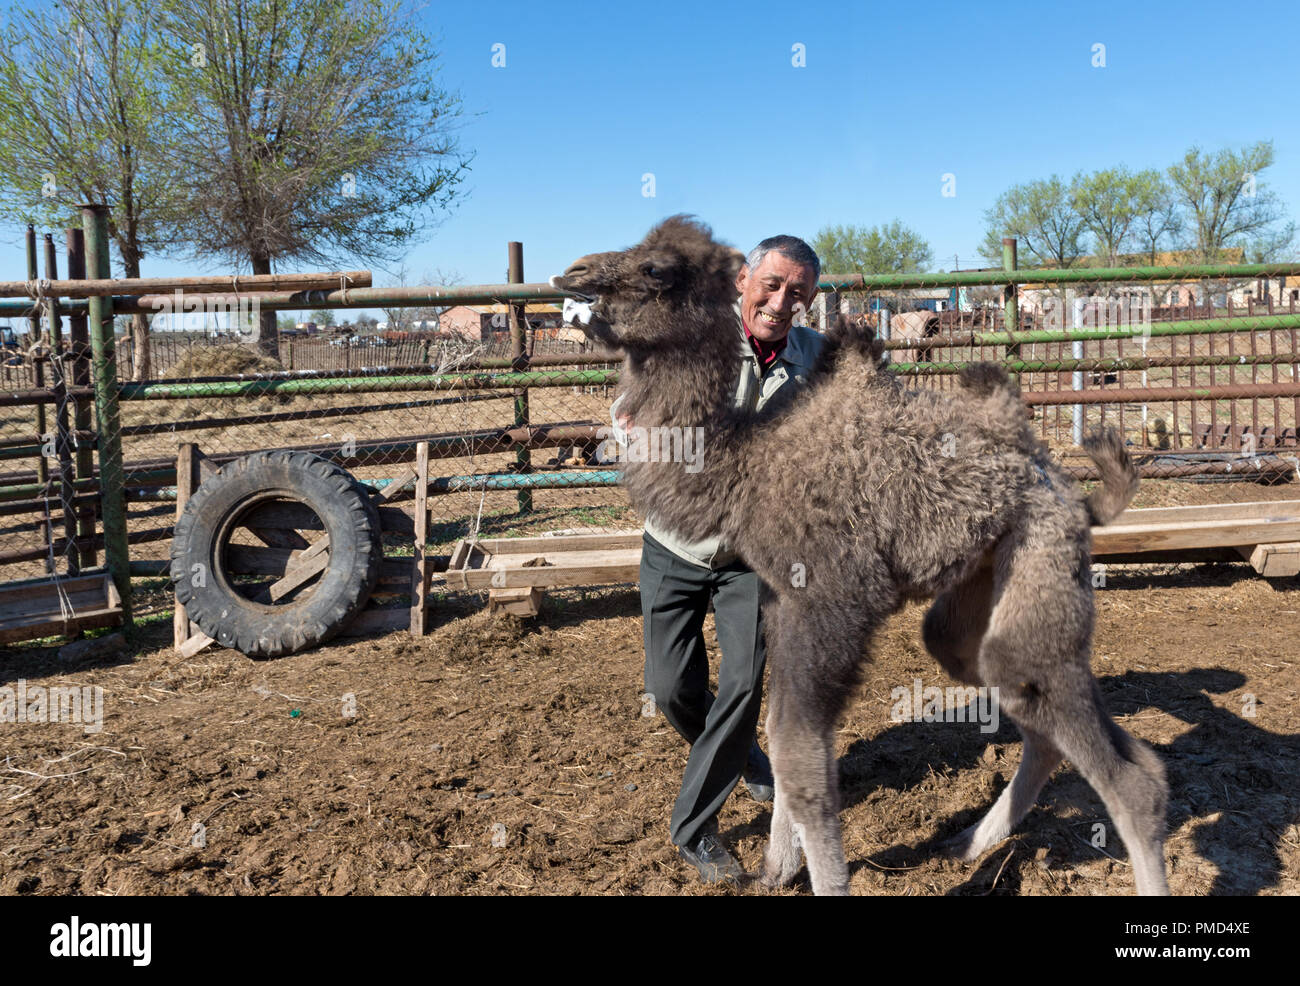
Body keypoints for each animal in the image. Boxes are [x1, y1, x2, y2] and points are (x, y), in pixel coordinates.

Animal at [551, 216, 1169, 896]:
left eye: (657, 268)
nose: (571, 275)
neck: (742, 469)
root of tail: (1070, 493)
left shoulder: (830, 599)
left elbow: (798, 754)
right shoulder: (781, 600)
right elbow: (780, 737)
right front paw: (775, 871)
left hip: (1041, 561)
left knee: (1127, 774)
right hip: (976, 601)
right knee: (1027, 710)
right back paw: (964, 844)